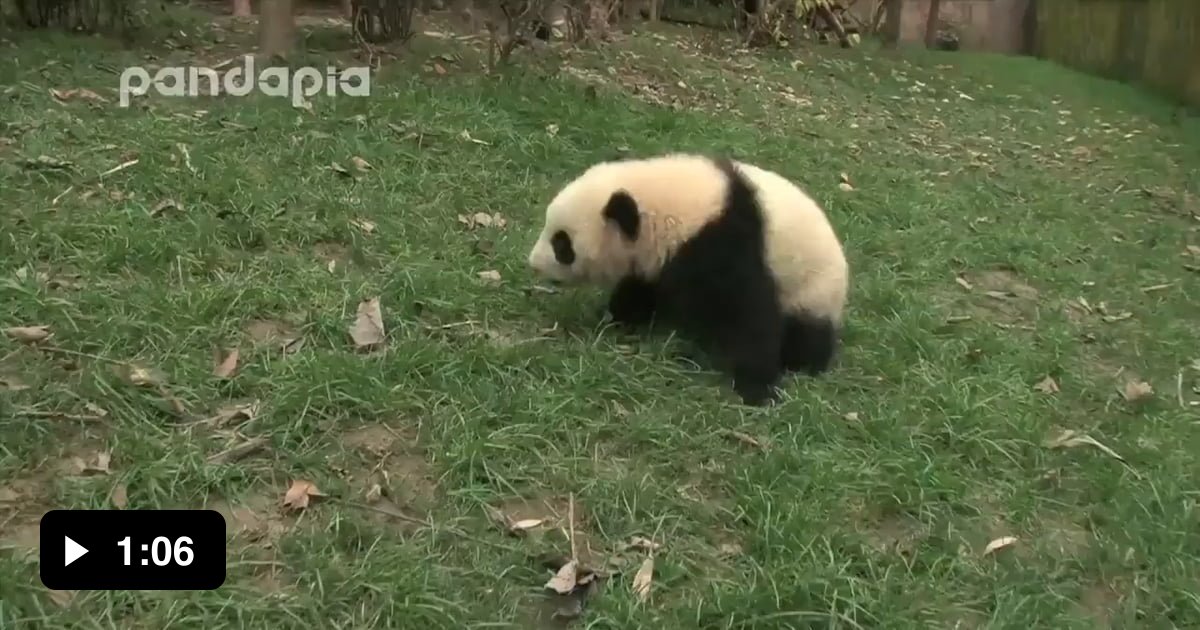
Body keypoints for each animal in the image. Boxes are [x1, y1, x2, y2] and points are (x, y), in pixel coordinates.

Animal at [526, 152, 849, 406]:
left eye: (562, 244)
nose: (533, 264)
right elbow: (642, 289)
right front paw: (616, 317)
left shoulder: (725, 242)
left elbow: (748, 311)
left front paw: (757, 388)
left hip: (811, 289)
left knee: (808, 332)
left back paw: (802, 361)